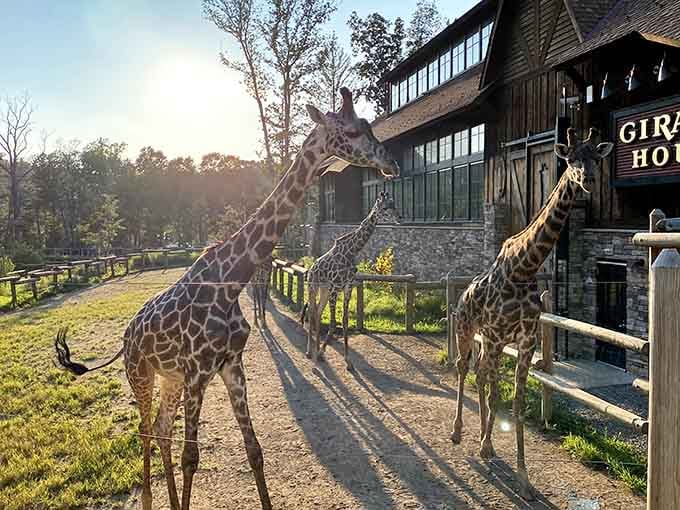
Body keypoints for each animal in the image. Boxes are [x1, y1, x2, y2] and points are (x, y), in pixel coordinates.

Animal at [301, 191, 400, 370]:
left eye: (394, 204)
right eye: (385, 207)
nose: (399, 217)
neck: (351, 251)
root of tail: (310, 268)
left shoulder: (347, 287)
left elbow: (345, 322)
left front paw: (347, 361)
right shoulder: (335, 287)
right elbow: (333, 324)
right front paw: (319, 356)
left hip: (324, 290)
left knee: (317, 312)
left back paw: (317, 351)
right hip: (313, 287)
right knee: (311, 313)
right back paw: (310, 352)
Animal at [450, 127, 613, 500]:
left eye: (596, 158)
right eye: (571, 158)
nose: (588, 180)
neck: (525, 267)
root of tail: (463, 293)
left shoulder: (525, 342)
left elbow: (517, 403)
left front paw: (523, 479)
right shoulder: (498, 337)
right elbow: (498, 394)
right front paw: (485, 446)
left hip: (486, 341)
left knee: (481, 374)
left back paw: (485, 439)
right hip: (468, 331)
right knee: (465, 369)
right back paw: (458, 433)